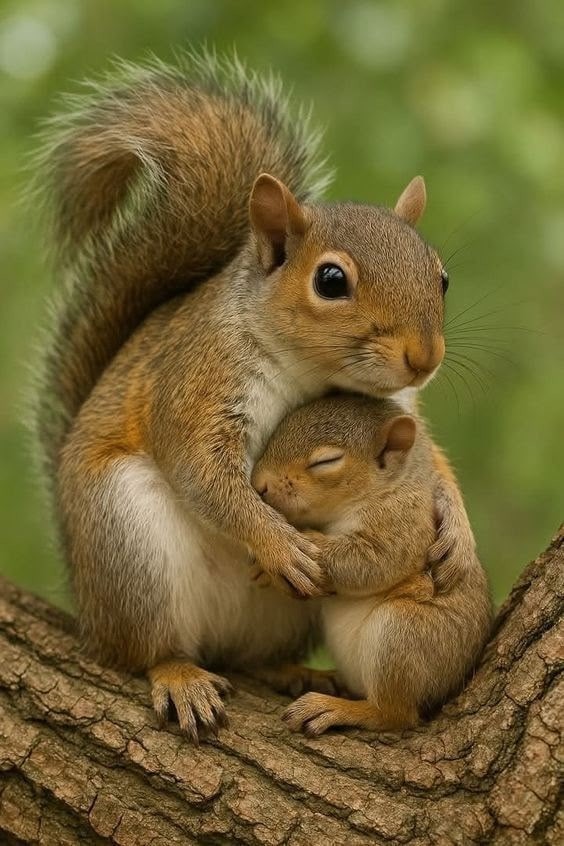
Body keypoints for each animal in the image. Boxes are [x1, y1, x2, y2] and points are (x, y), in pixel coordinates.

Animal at [251, 393, 493, 735]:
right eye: (278, 430)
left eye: (325, 461)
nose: (259, 485)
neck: (384, 488)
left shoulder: (403, 523)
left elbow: (369, 561)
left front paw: (284, 556)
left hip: (405, 634)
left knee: (395, 715)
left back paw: (335, 708)